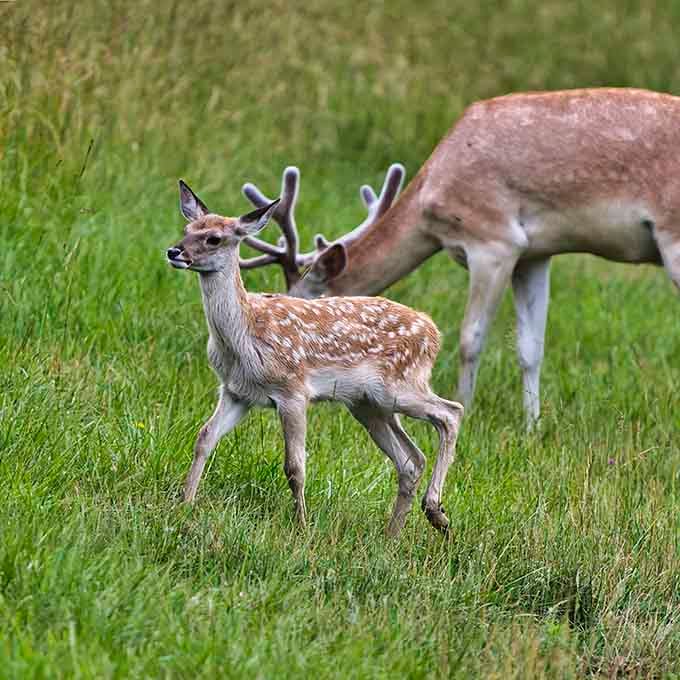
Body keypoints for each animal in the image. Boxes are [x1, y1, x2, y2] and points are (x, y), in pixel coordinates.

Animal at [166, 180, 464, 536]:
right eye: (187, 229)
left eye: (214, 238)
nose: (174, 252)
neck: (245, 335)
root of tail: (433, 331)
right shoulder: (237, 391)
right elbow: (204, 438)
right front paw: (184, 503)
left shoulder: (293, 391)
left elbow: (295, 466)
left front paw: (302, 526)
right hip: (367, 404)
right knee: (410, 460)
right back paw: (393, 535)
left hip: (399, 386)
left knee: (451, 413)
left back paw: (436, 512)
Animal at [239, 87, 680, 428]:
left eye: (302, 303)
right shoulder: (535, 253)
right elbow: (530, 347)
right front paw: (533, 427)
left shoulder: (494, 239)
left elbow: (471, 337)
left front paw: (464, 410)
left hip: (672, 236)